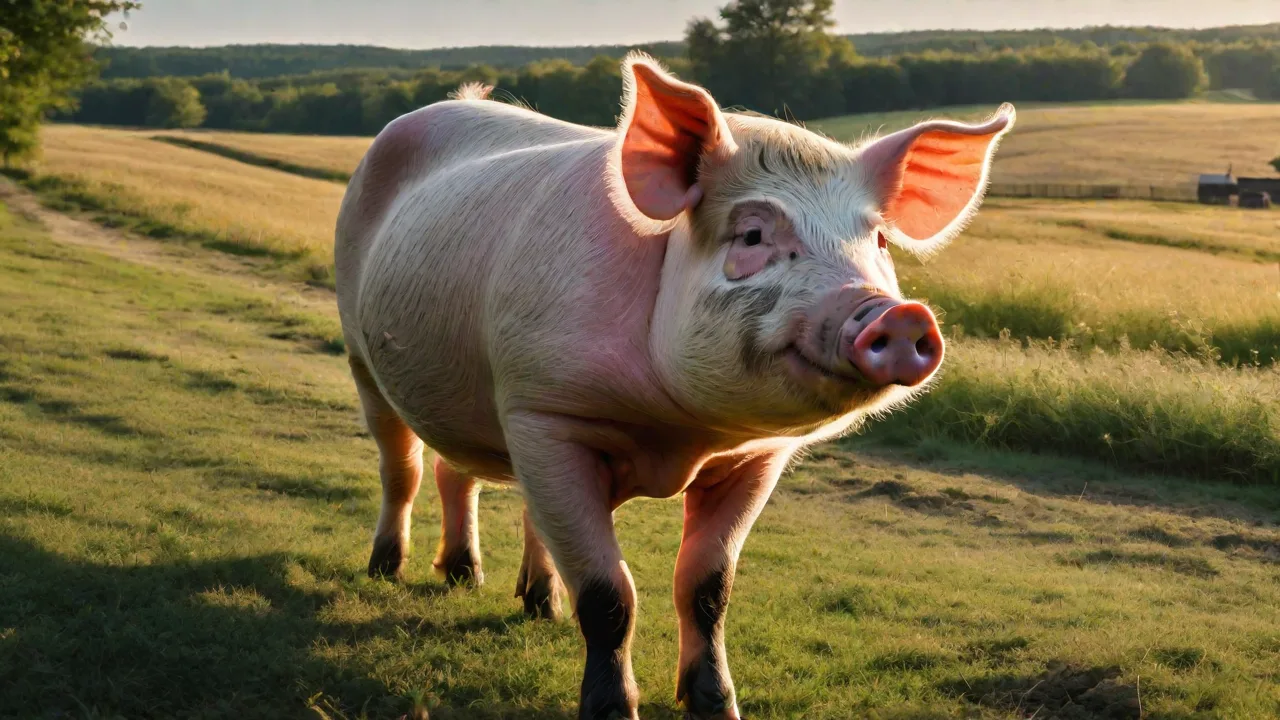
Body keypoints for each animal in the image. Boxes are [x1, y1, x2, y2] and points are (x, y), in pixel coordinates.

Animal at [334, 53, 1014, 720]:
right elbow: (608, 593)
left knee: (465, 475)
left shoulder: (756, 457)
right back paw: (386, 572)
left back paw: (504, 594)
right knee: (403, 466)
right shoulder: (542, 412)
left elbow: (708, 586)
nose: (898, 315)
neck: (680, 436)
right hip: (363, 352)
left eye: (876, 240)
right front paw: (614, 711)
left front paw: (717, 706)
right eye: (753, 235)